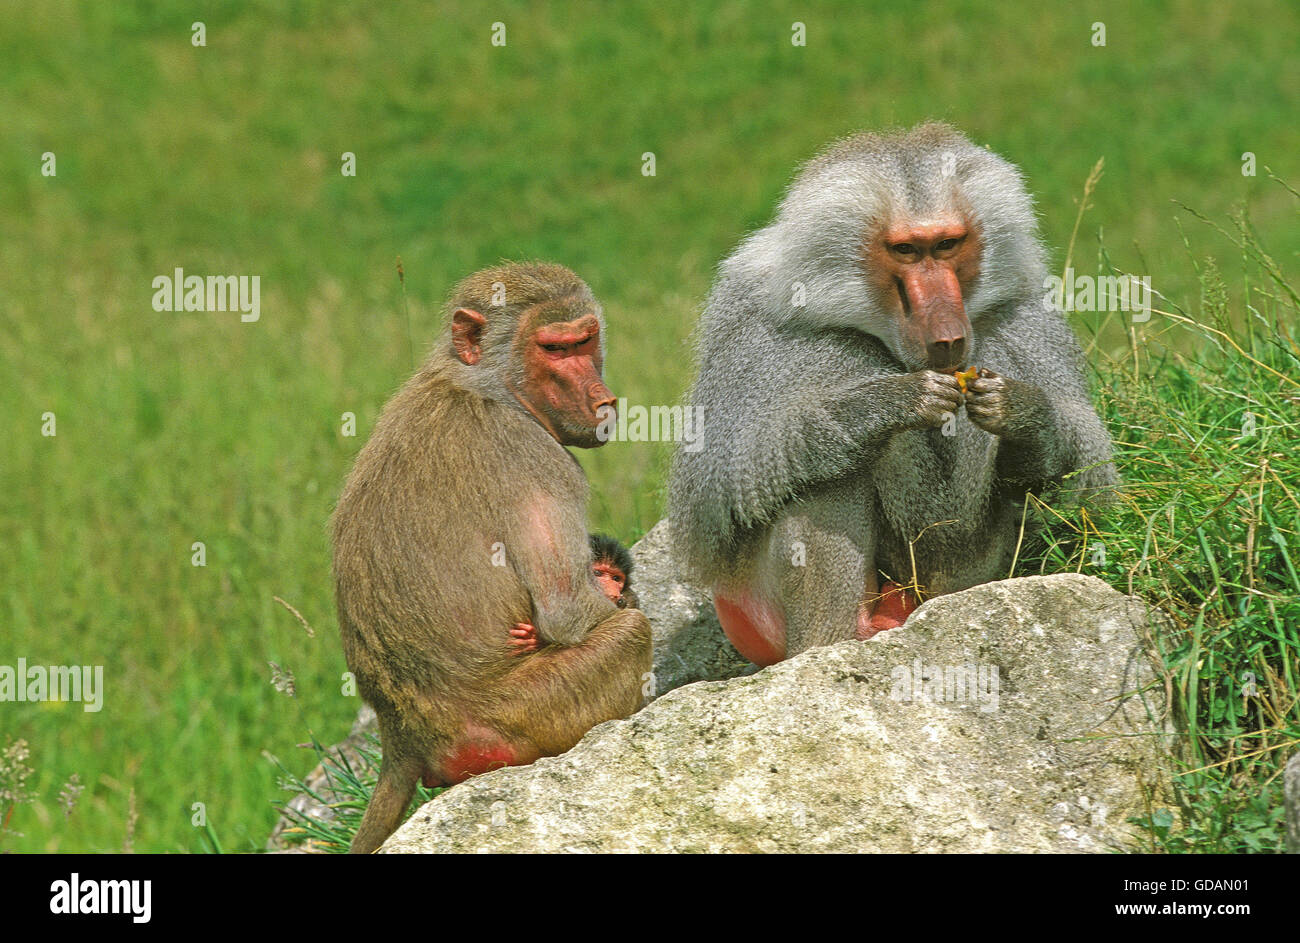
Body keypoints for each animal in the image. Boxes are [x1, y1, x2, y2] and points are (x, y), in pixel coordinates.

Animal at [667, 123, 1118, 668]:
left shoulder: (1028, 319)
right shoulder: (749, 326)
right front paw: (895, 402)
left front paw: (1021, 413)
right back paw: (834, 644)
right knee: (821, 477)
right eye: (905, 251)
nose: (948, 338)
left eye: (947, 245)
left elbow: (1088, 477)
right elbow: (720, 485)